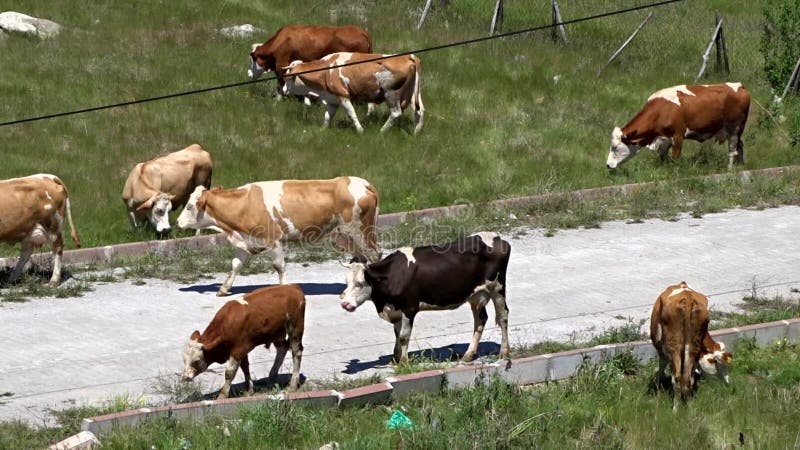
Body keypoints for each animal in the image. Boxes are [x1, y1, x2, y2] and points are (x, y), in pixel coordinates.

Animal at [177, 176, 380, 296]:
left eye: (189, 206)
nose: (177, 221)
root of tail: (363, 182)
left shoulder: (273, 240)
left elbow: (279, 266)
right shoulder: (246, 241)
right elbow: (235, 265)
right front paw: (224, 288)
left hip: (362, 231)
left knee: (374, 255)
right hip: (346, 236)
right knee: (360, 259)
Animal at [283, 52, 424, 134]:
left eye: (287, 78)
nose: (283, 90)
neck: (326, 69)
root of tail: (408, 56)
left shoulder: (343, 96)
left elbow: (351, 113)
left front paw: (360, 130)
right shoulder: (332, 99)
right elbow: (328, 116)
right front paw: (322, 129)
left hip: (391, 94)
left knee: (396, 113)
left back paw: (382, 131)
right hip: (413, 94)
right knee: (420, 111)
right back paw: (416, 132)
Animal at [339, 232, 510, 364]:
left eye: (360, 283)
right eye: (347, 282)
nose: (345, 304)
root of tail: (498, 238)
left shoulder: (409, 308)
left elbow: (404, 336)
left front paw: (404, 363)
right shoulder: (396, 309)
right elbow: (397, 334)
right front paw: (396, 358)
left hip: (498, 288)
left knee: (503, 316)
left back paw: (504, 351)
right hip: (476, 295)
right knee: (480, 319)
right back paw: (468, 355)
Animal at [606, 83, 751, 169]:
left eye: (615, 148)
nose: (607, 165)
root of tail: (739, 85)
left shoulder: (678, 135)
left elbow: (675, 157)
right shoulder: (664, 139)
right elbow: (663, 156)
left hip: (734, 129)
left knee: (733, 150)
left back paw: (730, 168)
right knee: (740, 145)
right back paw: (741, 165)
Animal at [650, 282, 732, 411]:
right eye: (716, 363)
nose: (727, 383)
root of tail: (688, 298)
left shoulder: (662, 351)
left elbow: (661, 368)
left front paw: (658, 390)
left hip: (674, 346)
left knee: (677, 377)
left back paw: (675, 409)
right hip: (693, 346)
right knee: (688, 378)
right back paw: (690, 407)